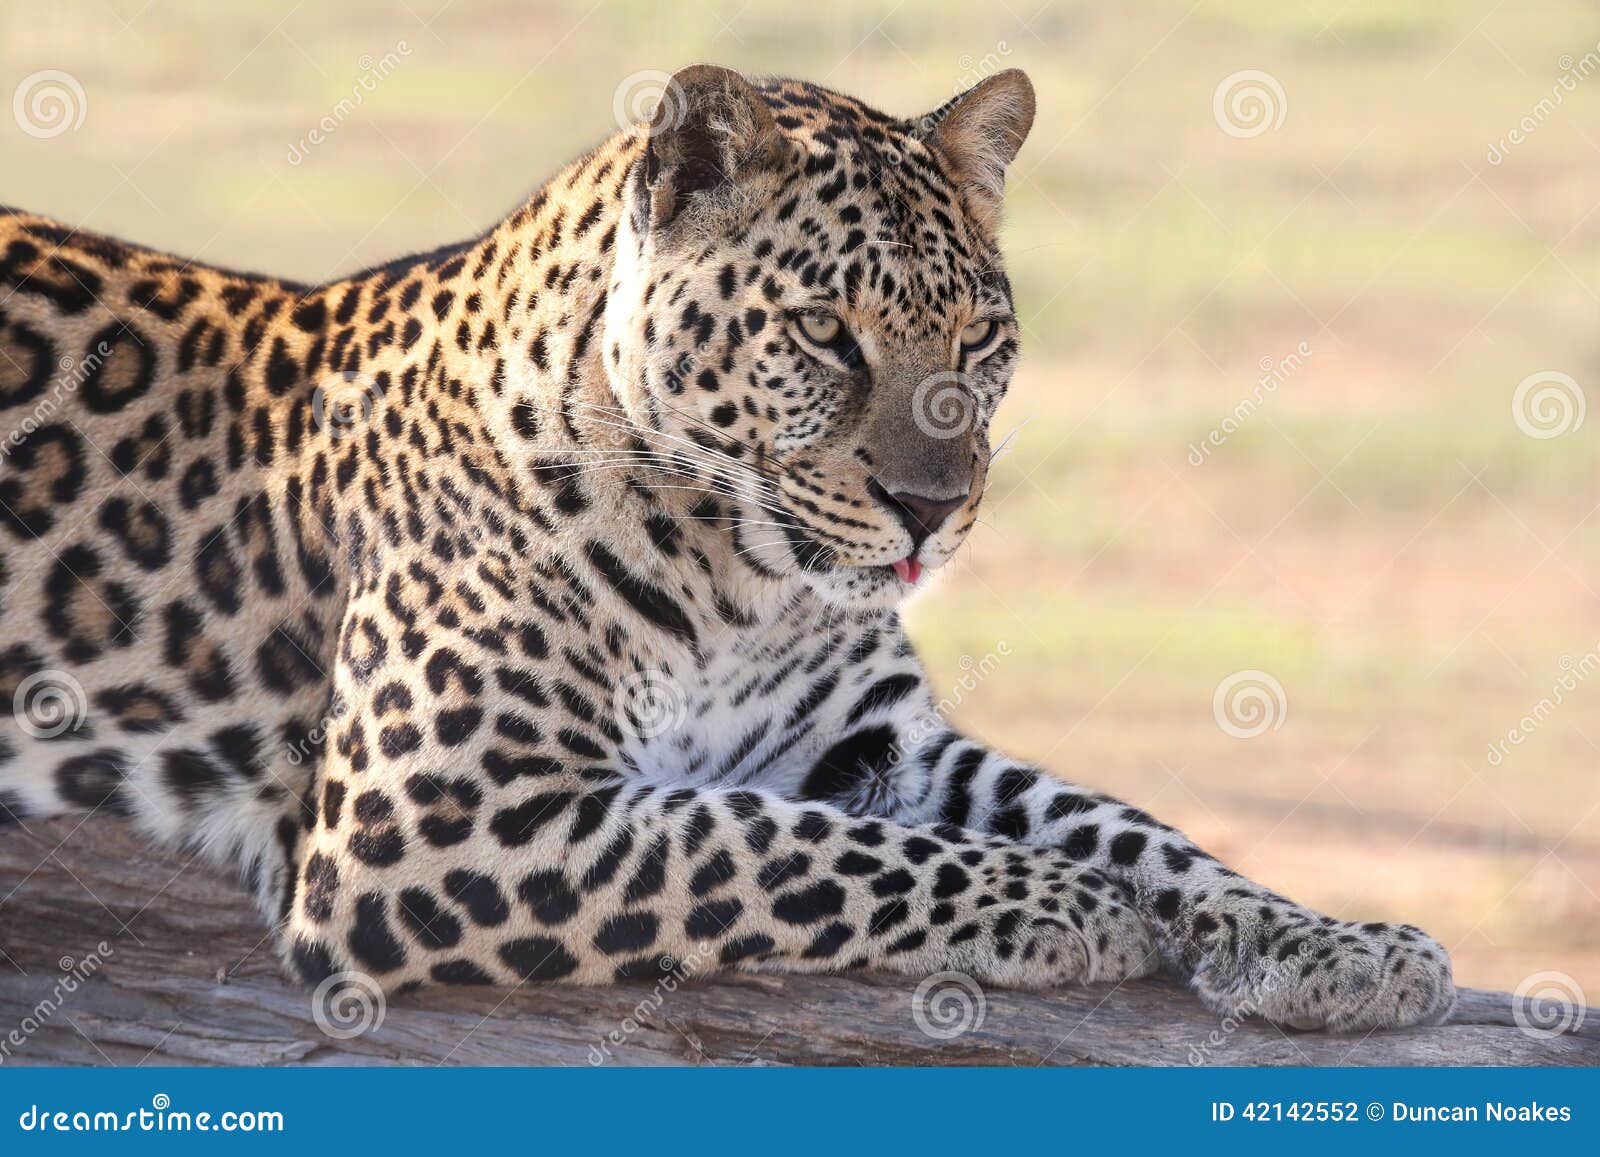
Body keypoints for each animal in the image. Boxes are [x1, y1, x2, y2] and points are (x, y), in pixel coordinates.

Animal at [0, 64, 1454, 1034]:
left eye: (980, 337)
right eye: (824, 333)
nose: (934, 508)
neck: (740, 579)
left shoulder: (873, 739)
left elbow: (1126, 821)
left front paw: (1330, 941)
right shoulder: (429, 821)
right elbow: (770, 844)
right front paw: (1068, 908)